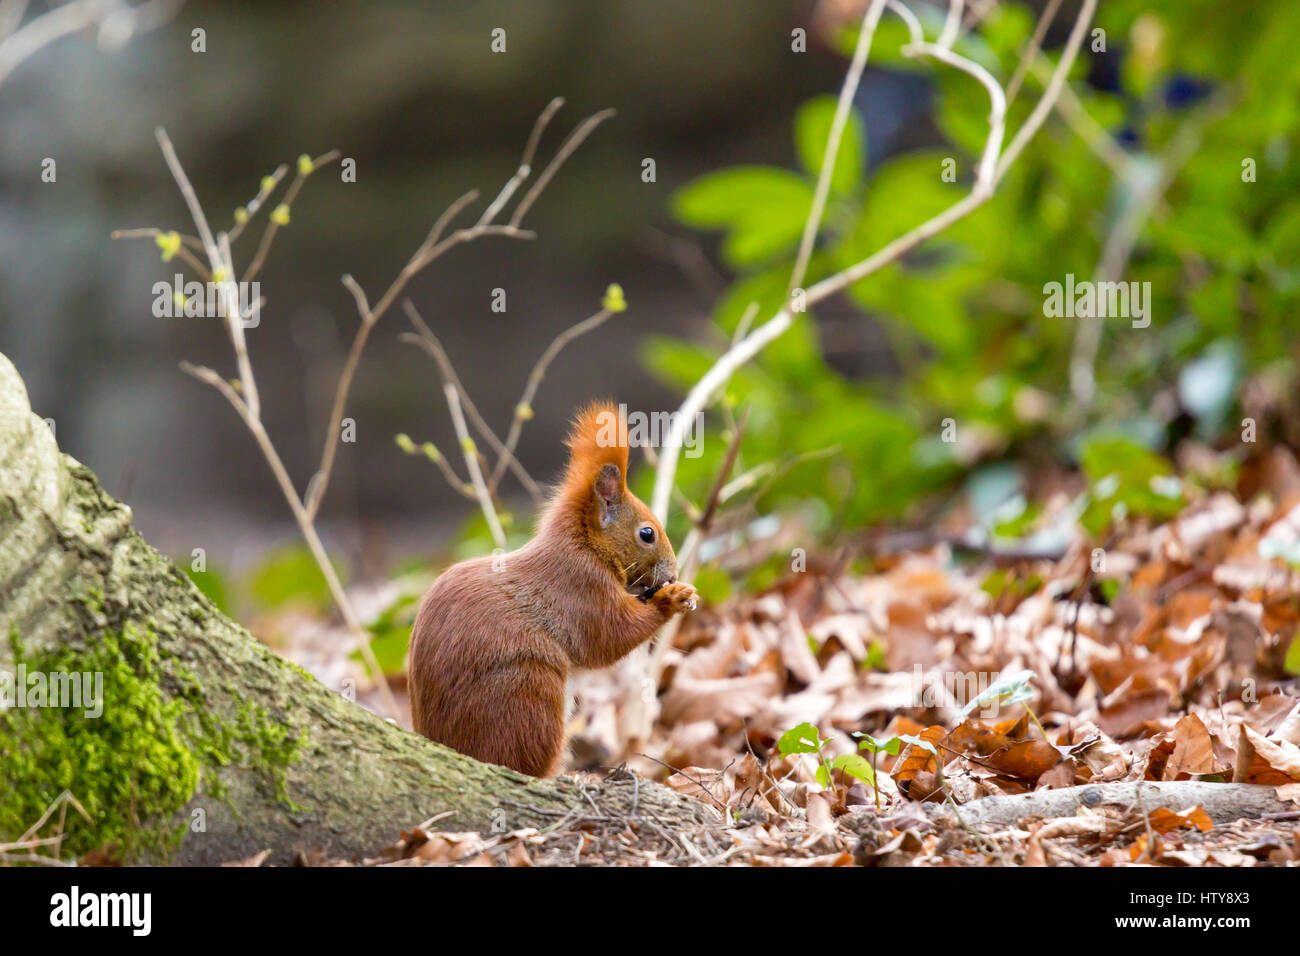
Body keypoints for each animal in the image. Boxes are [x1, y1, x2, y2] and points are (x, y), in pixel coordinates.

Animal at [408, 401, 698, 777]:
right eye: (647, 534)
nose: (672, 572)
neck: (586, 546)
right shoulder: (580, 586)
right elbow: (610, 636)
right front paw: (672, 599)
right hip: (527, 695)